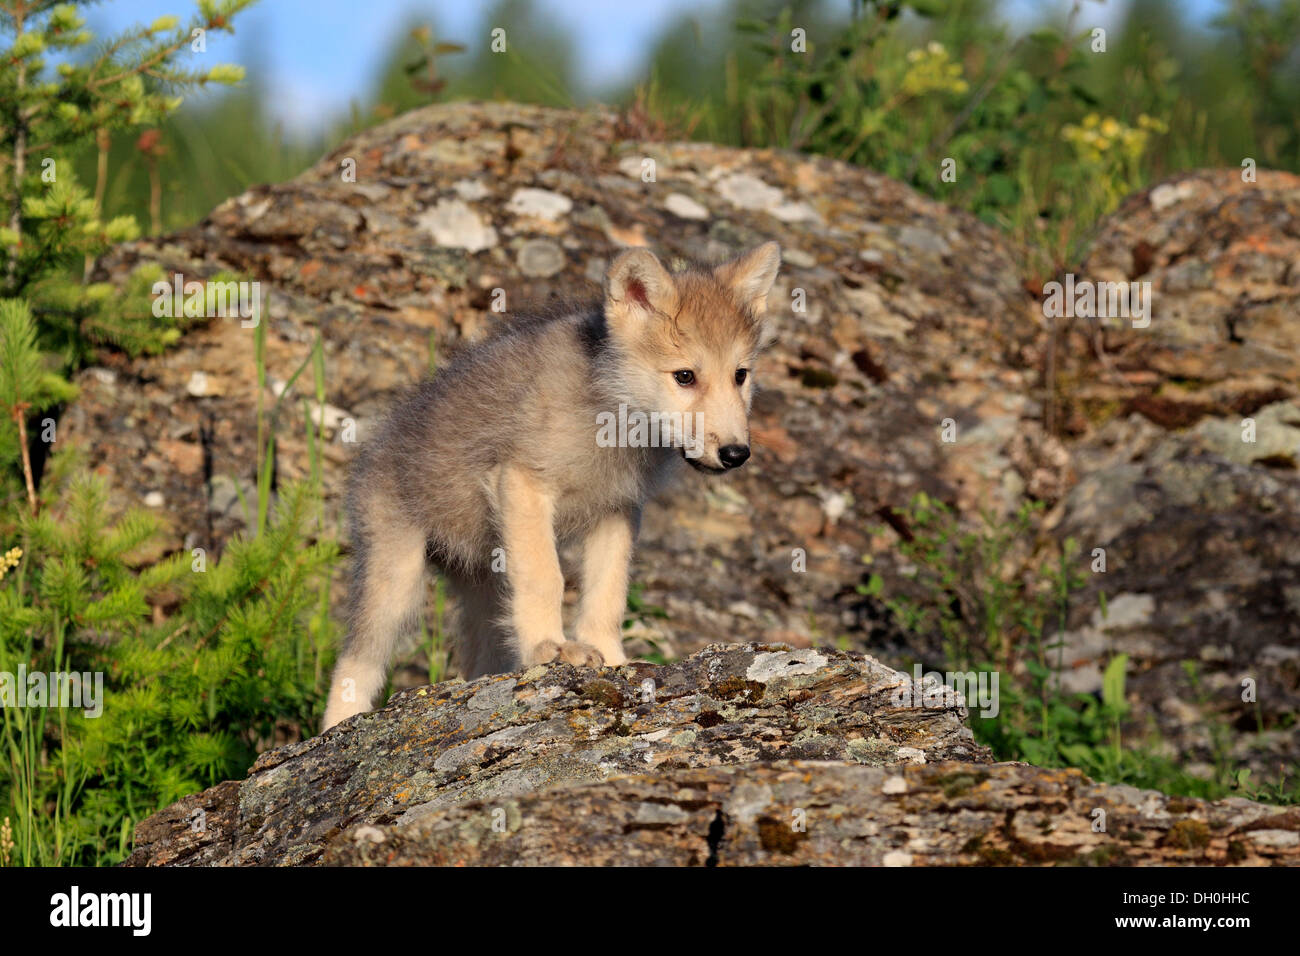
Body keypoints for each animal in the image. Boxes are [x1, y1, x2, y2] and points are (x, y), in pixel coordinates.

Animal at [320, 241, 781, 730]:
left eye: (741, 375)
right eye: (685, 376)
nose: (736, 453)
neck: (609, 415)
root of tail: (375, 445)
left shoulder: (617, 509)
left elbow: (608, 593)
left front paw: (614, 659)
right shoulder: (523, 482)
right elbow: (548, 577)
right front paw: (552, 648)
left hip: (485, 588)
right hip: (395, 577)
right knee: (354, 663)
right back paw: (334, 732)